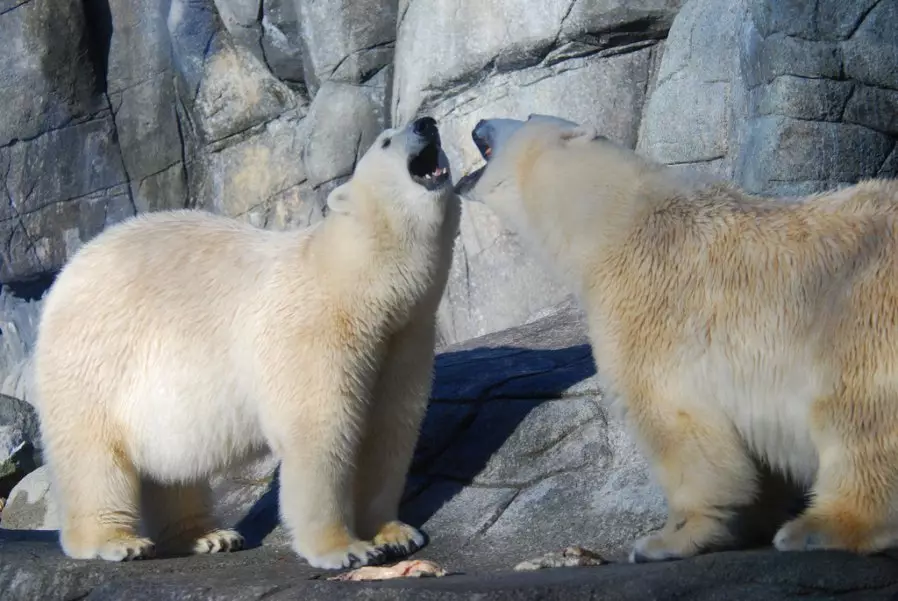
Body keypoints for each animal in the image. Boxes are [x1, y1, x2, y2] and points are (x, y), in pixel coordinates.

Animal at [31, 116, 458, 568]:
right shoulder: (312, 331)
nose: (426, 123)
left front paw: (396, 532)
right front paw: (344, 549)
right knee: (93, 458)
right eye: (387, 141)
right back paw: (115, 540)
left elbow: (389, 429)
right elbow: (321, 432)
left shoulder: (404, 337)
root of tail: (65, 277)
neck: (355, 283)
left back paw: (209, 536)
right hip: (94, 361)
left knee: (173, 468)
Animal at [466, 113, 896, 564]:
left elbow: (677, 422)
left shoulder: (650, 305)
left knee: (859, 414)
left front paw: (667, 540)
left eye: (528, 117)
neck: (611, 223)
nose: (479, 121)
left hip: (858, 307)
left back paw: (820, 528)